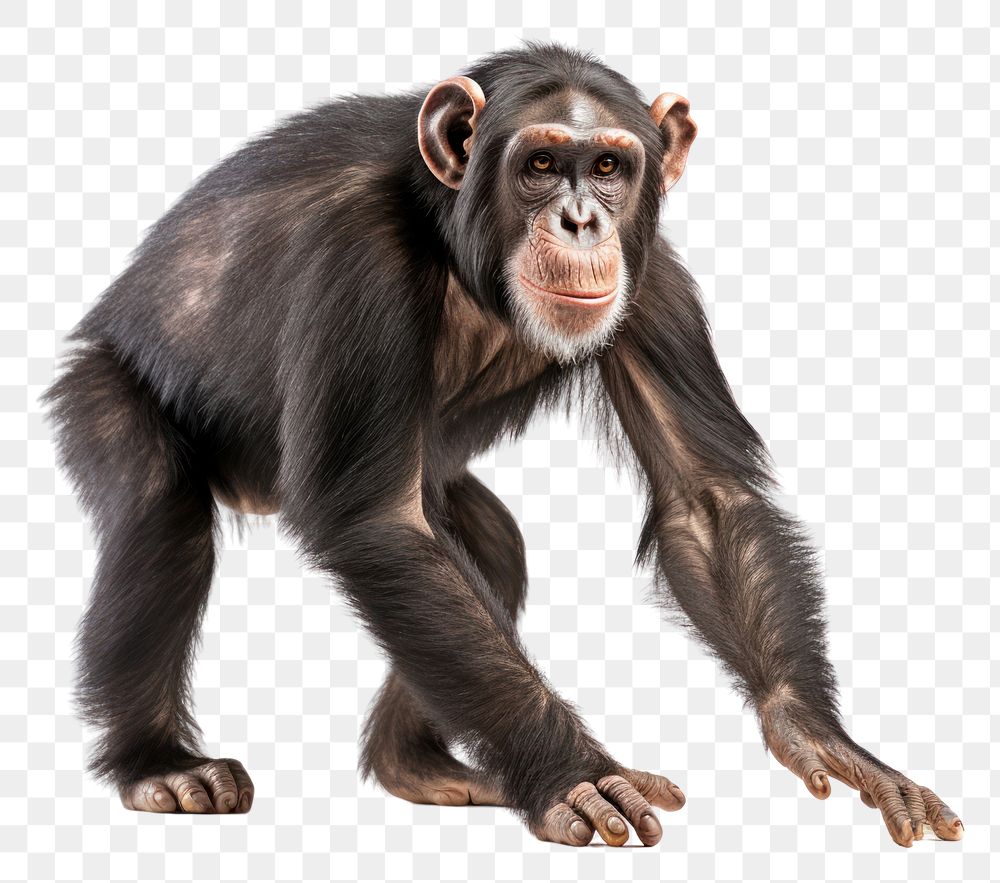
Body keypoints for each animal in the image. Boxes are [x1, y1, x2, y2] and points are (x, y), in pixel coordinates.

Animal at [42, 42, 963, 848]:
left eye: (609, 169)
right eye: (541, 164)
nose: (582, 220)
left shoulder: (655, 278)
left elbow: (704, 497)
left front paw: (817, 730)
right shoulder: (354, 252)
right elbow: (377, 524)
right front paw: (579, 778)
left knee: (484, 544)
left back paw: (420, 764)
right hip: (99, 379)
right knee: (159, 514)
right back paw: (160, 766)